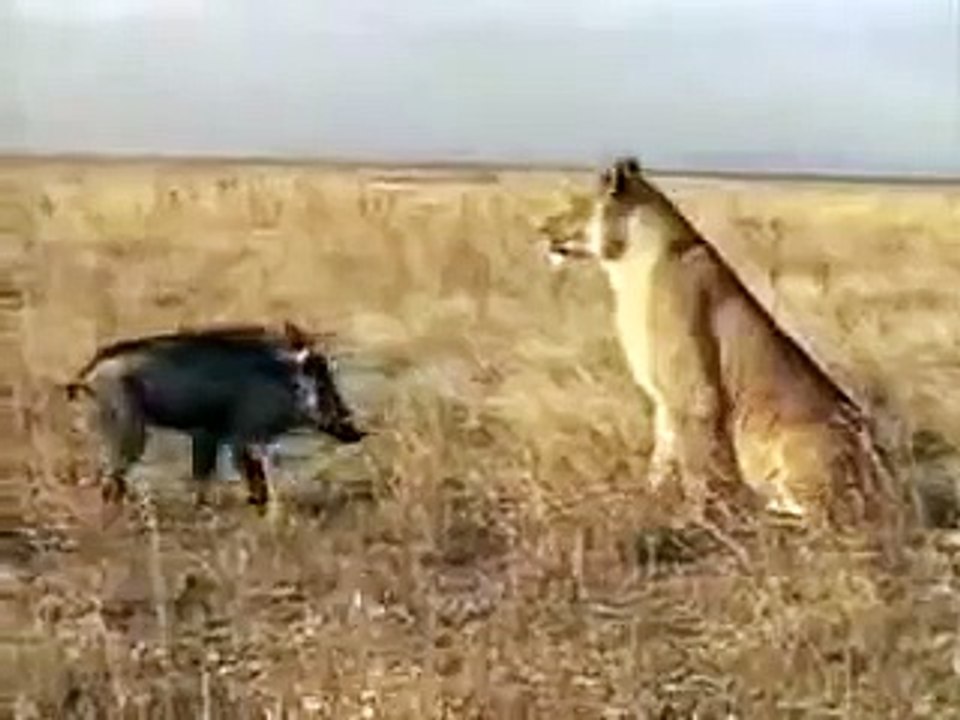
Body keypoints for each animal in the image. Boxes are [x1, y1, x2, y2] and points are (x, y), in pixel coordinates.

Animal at [534, 157, 912, 531]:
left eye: (576, 205)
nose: (542, 228)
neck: (627, 265)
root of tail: (889, 489)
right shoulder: (665, 400)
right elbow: (661, 456)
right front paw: (646, 499)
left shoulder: (695, 396)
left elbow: (693, 468)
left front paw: (689, 520)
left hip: (795, 441)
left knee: (822, 520)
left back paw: (764, 515)